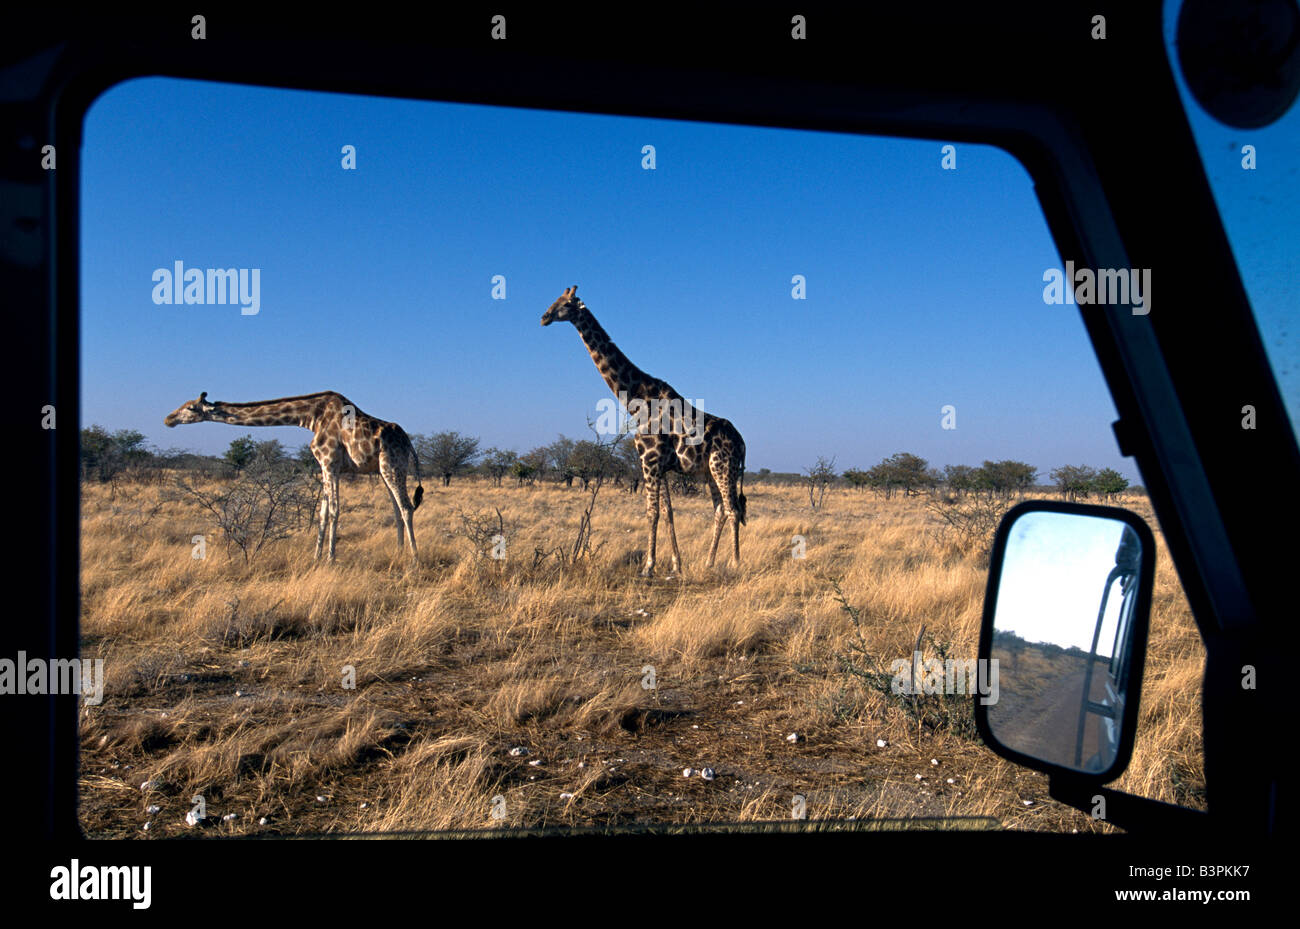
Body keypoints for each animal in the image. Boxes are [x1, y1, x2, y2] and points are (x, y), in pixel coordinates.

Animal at [164, 391, 424, 563]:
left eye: (190, 408)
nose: (168, 419)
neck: (312, 418)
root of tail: (409, 443)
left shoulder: (330, 461)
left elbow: (333, 510)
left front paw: (330, 560)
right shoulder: (324, 465)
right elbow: (322, 512)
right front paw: (316, 558)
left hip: (393, 465)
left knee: (406, 507)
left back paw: (414, 559)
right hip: (383, 470)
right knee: (396, 508)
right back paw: (399, 553)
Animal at [541, 285, 746, 577]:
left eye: (566, 304)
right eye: (555, 300)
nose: (544, 317)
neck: (635, 399)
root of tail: (742, 443)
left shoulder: (649, 459)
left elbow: (652, 512)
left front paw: (648, 566)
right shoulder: (659, 463)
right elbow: (668, 513)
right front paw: (676, 565)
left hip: (724, 465)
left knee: (733, 510)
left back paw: (735, 563)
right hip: (709, 470)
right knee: (719, 510)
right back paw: (708, 563)